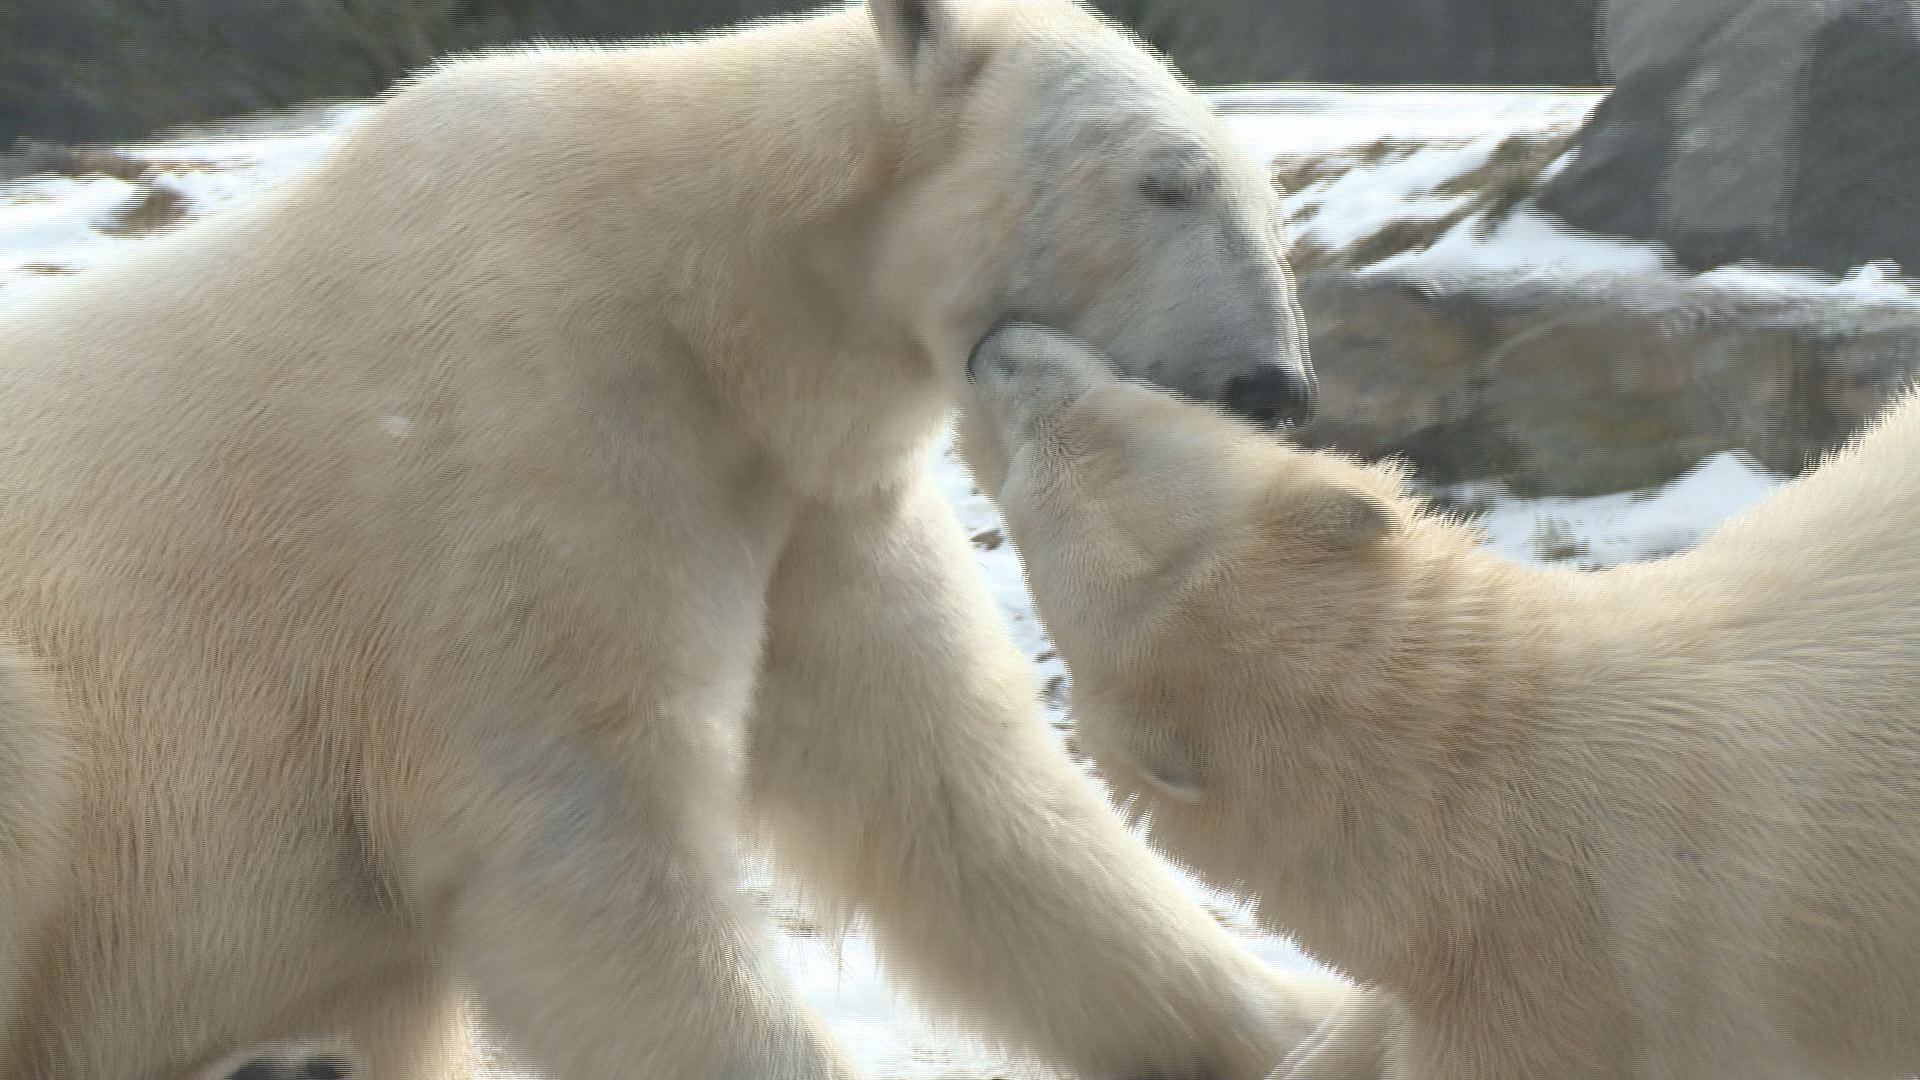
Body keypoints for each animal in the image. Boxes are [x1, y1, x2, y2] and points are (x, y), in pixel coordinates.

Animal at [0, 1, 1345, 1078]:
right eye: (1165, 179)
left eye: (1267, 200)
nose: (1272, 386)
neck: (707, 290)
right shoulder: (526, 432)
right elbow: (578, 835)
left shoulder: (810, 500)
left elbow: (957, 797)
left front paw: (1298, 1022)